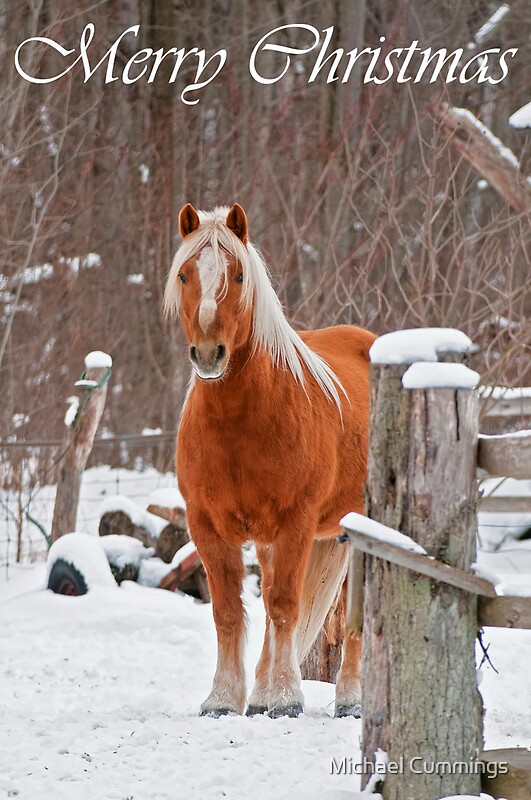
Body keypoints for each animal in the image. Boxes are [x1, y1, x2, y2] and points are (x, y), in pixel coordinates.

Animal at [164, 203, 376, 718]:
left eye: (239, 275)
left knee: (354, 615)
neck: (239, 424)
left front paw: (282, 699)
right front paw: (224, 699)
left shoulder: (295, 524)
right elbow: (228, 612)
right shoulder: (208, 527)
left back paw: (351, 699)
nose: (208, 354)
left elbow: (283, 606)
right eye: (184, 275)